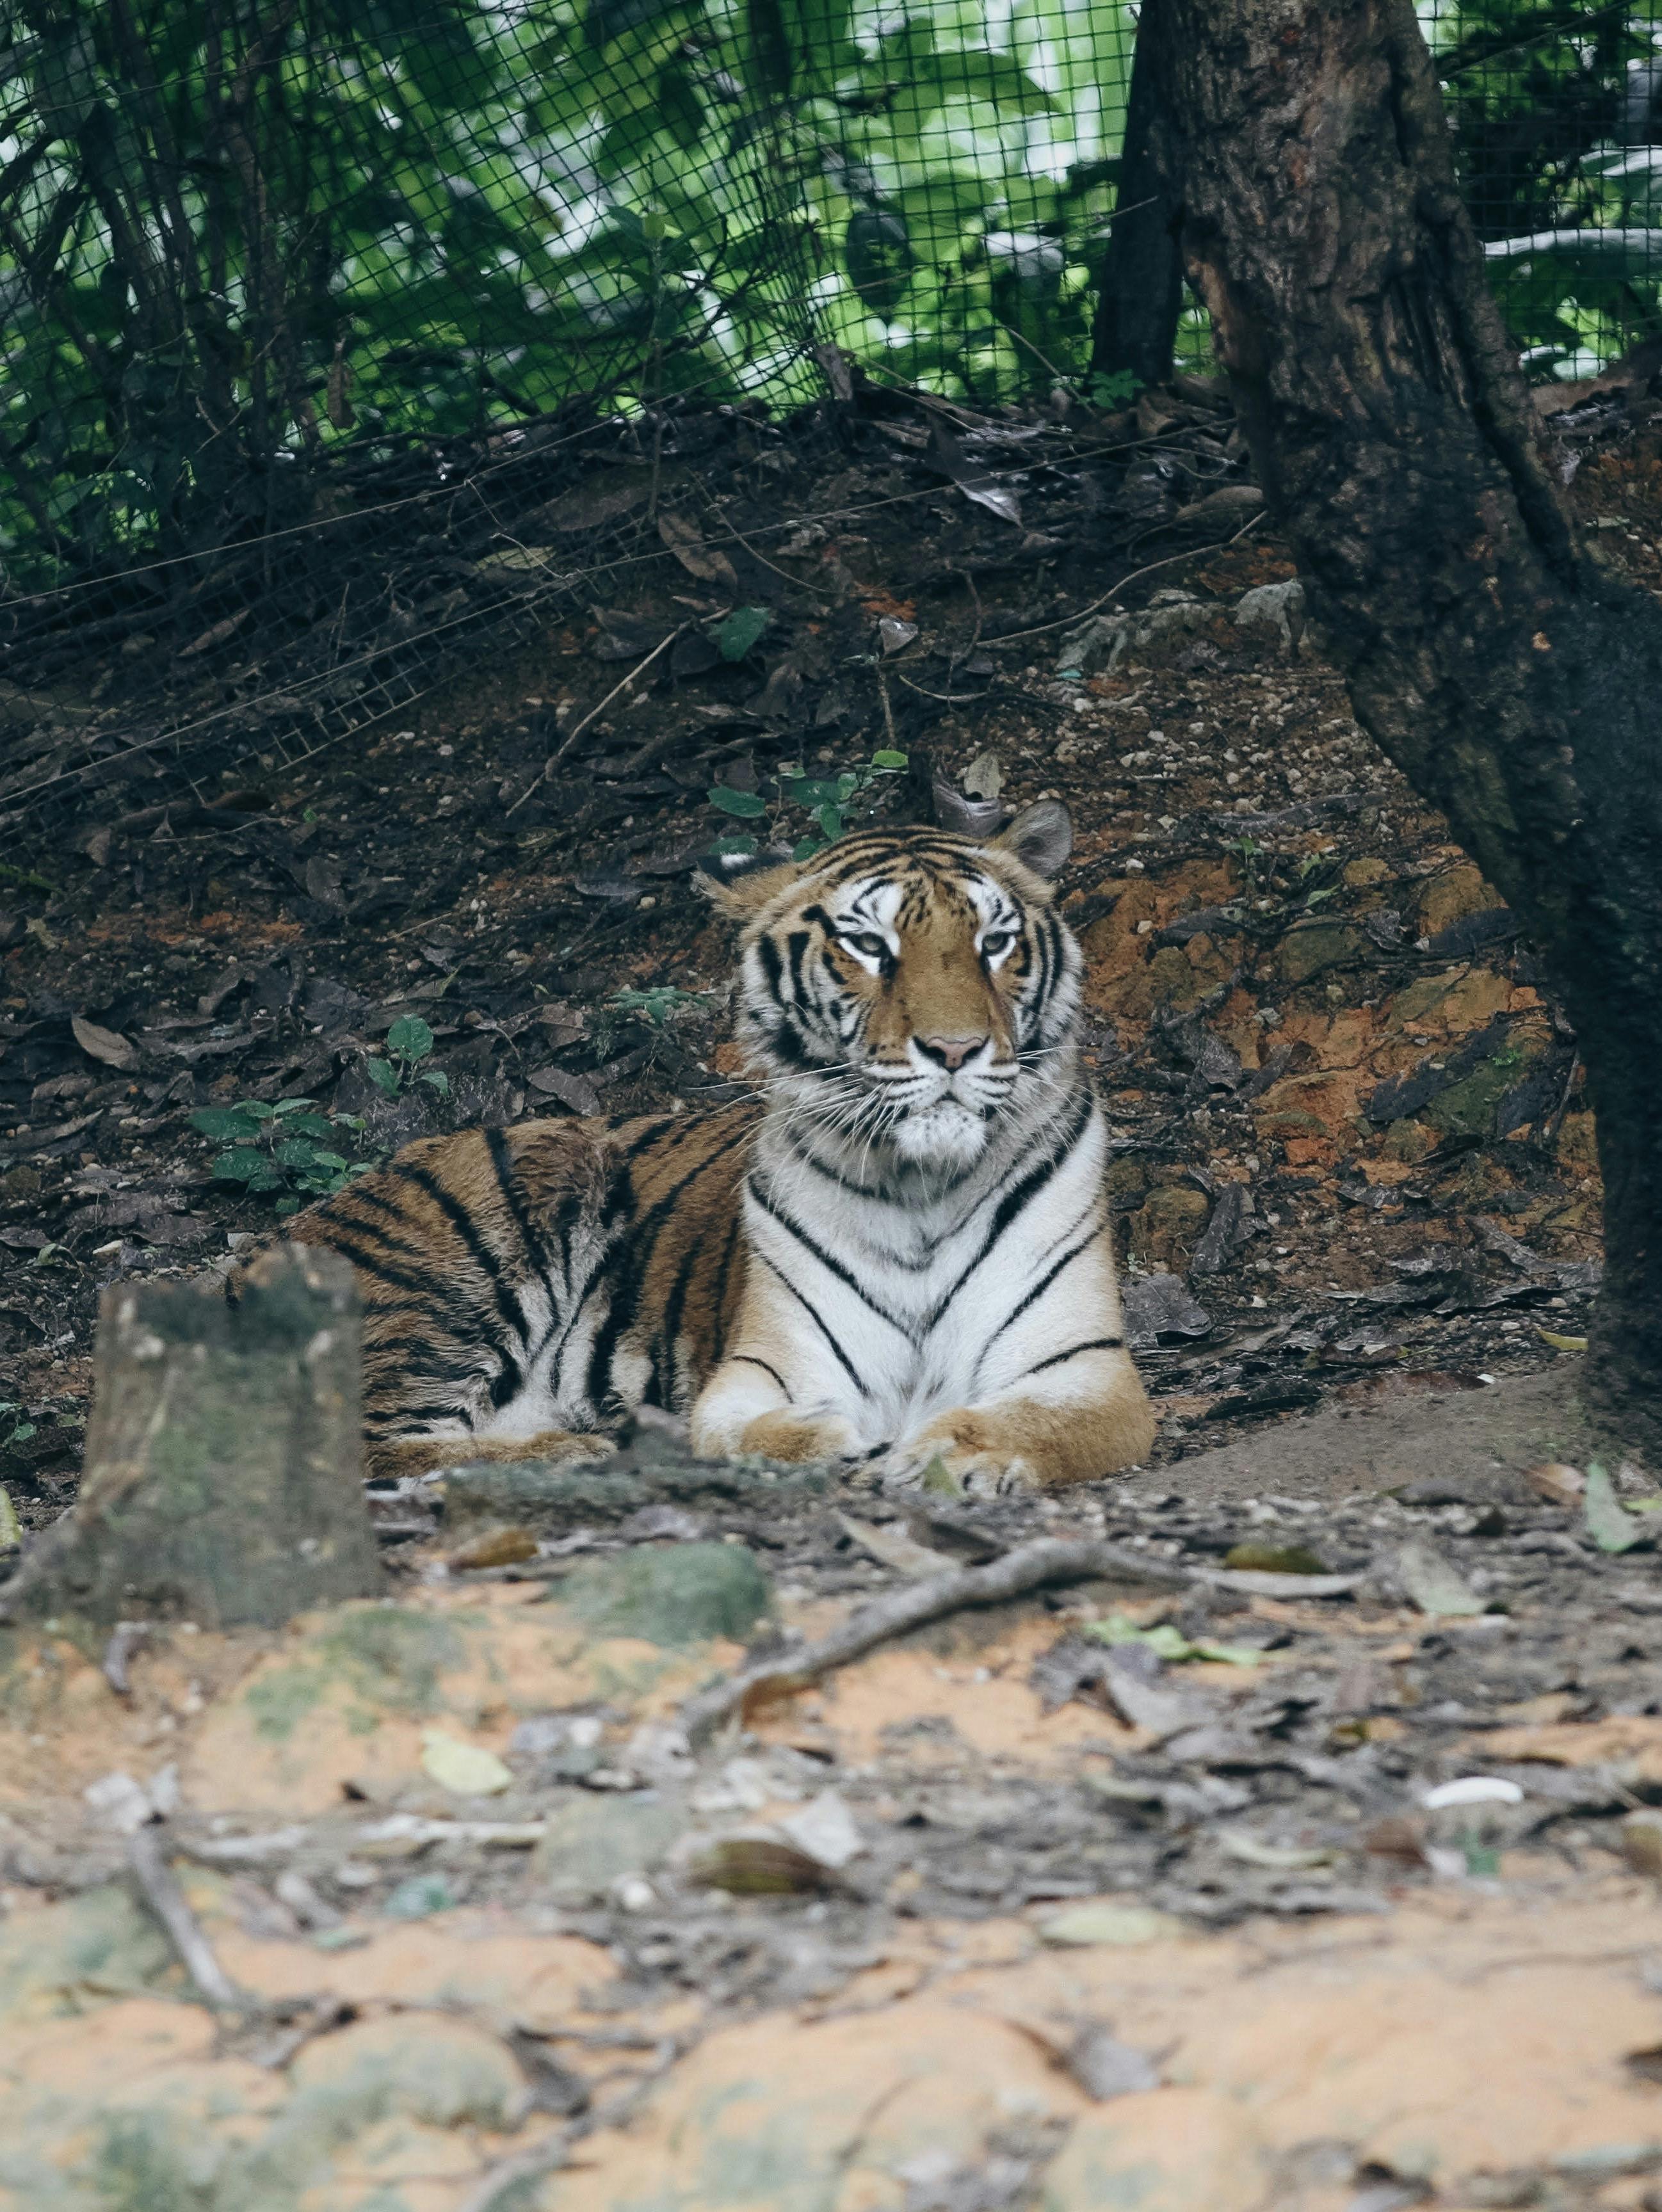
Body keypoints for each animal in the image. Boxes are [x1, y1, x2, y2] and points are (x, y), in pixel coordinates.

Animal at [282, 799, 1157, 1495]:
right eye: (870, 947)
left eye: (995, 942)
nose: (955, 1050)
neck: (922, 1189)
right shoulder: (766, 1369)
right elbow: (747, 1431)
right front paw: (835, 1442)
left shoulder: (1084, 1372)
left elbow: (1008, 1423)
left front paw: (945, 1454)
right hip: (442, 1293)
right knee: (372, 1450)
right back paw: (580, 1449)